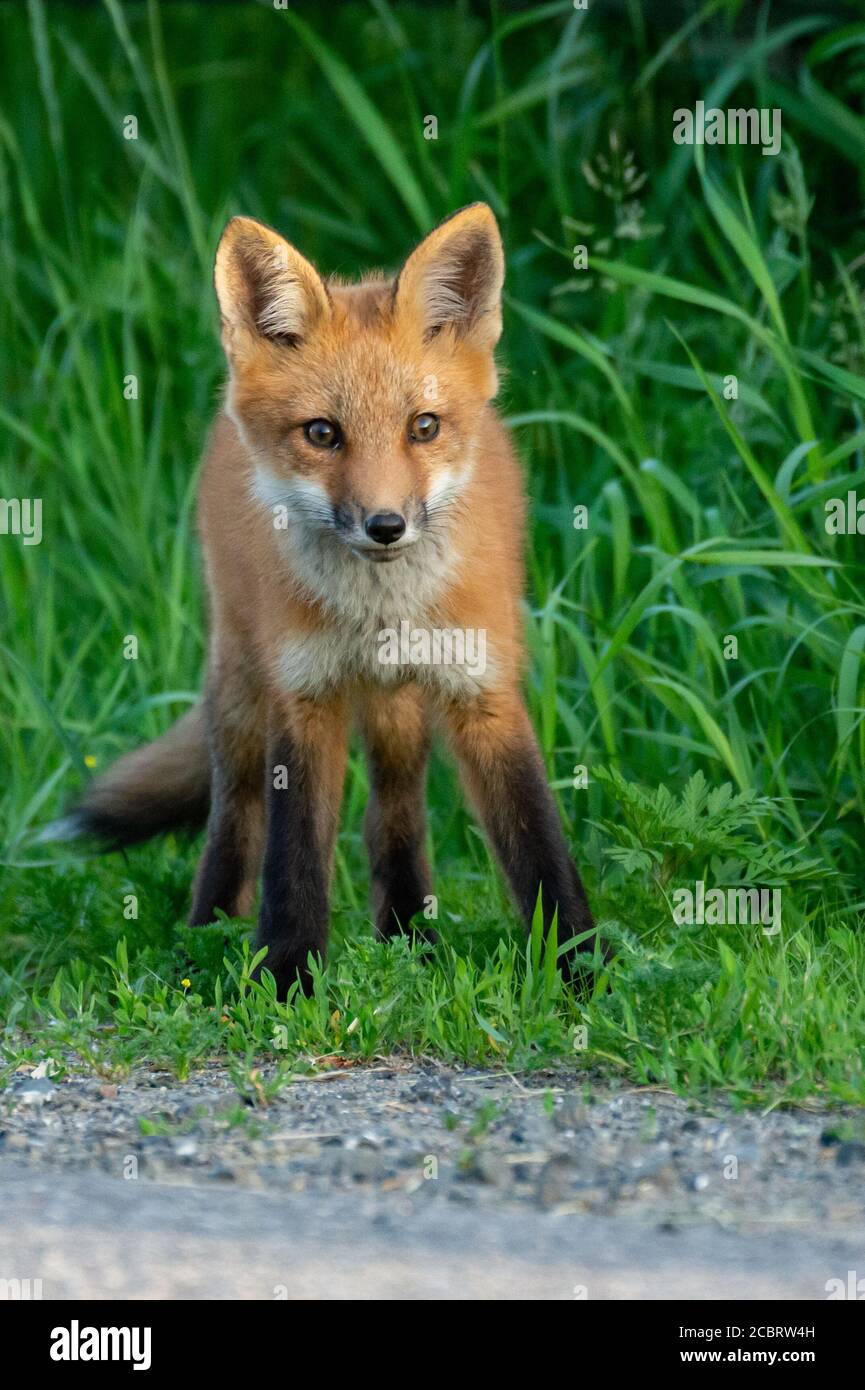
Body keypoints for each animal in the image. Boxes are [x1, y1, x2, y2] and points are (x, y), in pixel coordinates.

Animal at [58, 202, 597, 999]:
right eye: (322, 433)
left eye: (423, 427)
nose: (386, 525)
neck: (379, 615)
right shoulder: (304, 696)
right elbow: (293, 858)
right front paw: (284, 980)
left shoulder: (483, 689)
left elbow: (538, 843)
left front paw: (584, 972)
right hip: (241, 686)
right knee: (235, 819)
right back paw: (202, 939)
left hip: (400, 711)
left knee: (390, 820)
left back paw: (411, 942)